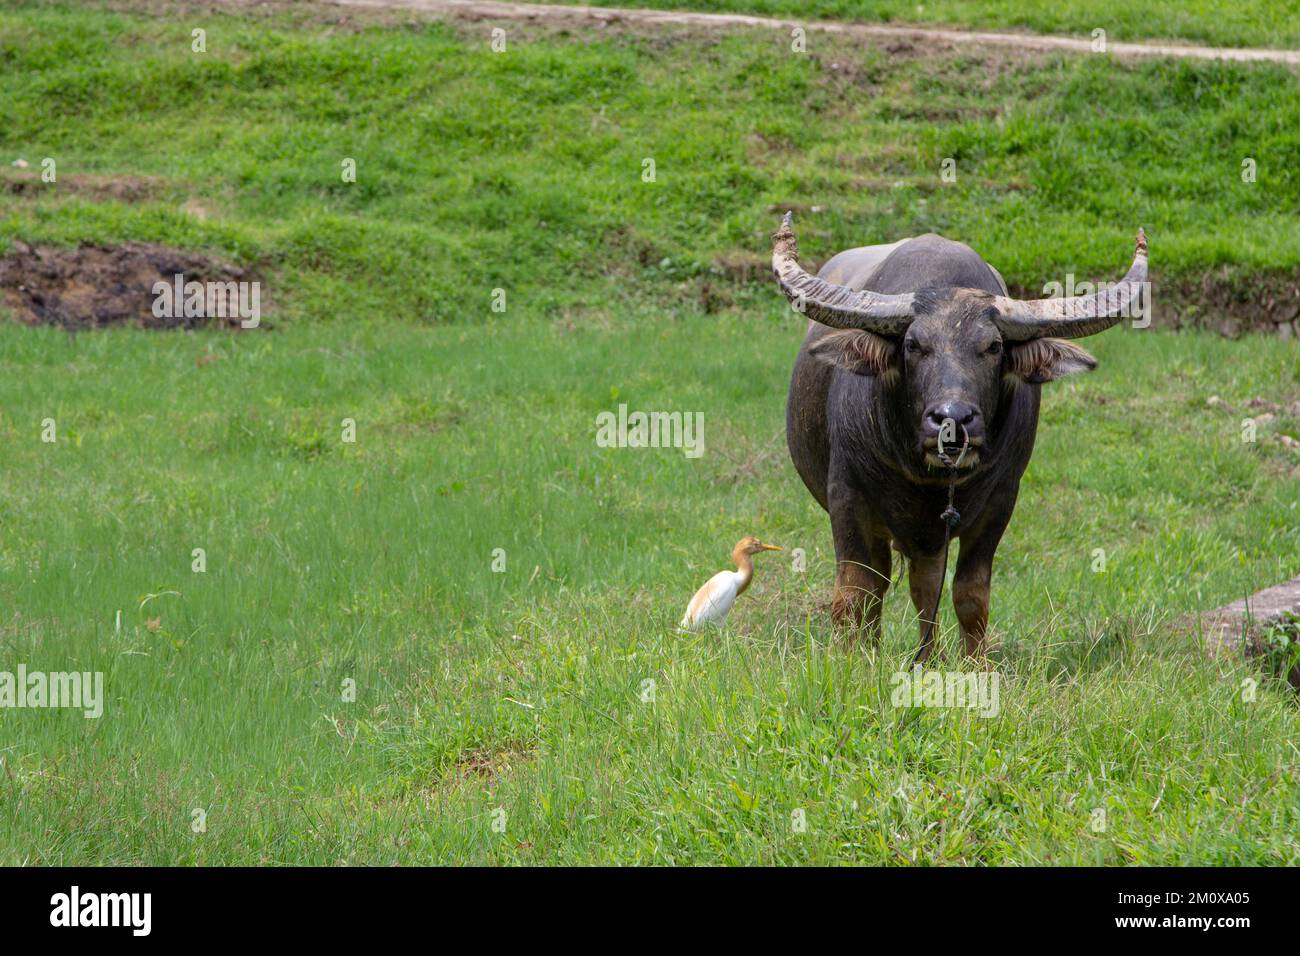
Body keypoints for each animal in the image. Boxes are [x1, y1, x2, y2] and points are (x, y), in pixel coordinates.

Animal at [775, 214, 1147, 659]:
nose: (952, 420)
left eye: (993, 346)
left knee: (924, 585)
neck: (928, 476)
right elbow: (857, 592)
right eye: (913, 344)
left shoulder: (1000, 500)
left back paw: (928, 656)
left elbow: (968, 593)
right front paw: (855, 658)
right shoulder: (847, 494)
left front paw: (975, 662)